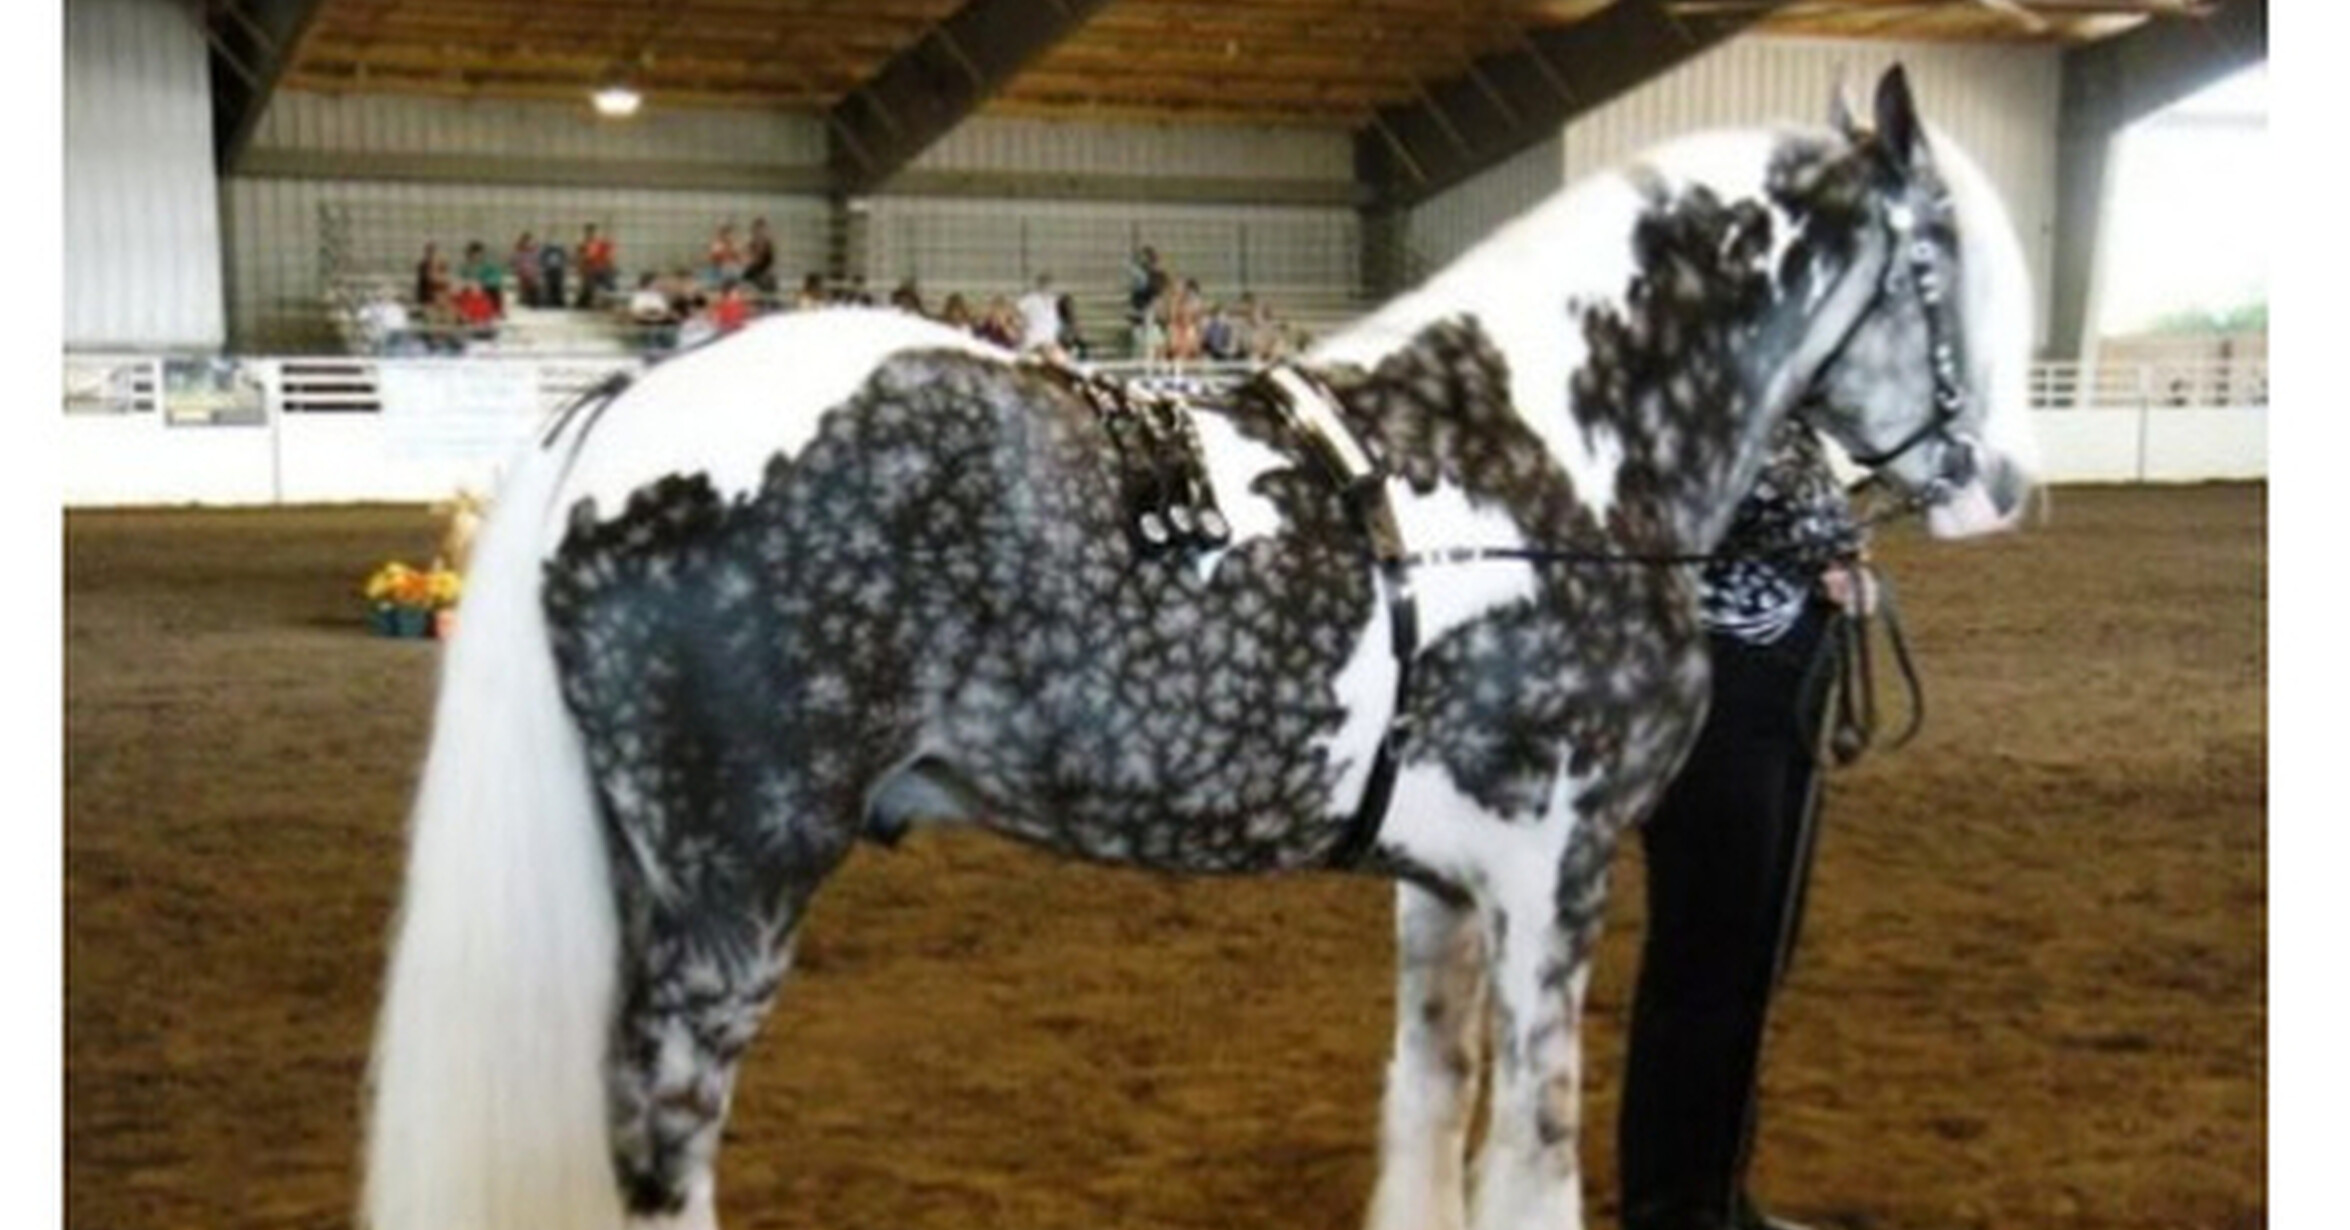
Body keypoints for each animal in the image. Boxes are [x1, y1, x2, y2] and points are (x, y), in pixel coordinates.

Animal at [361, 66, 2036, 1230]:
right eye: (1944, 266)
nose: (2004, 485)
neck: (1546, 455)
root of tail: (624, 410)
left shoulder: (1446, 884)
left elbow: (1429, 1114)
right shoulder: (1552, 873)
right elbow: (1530, 1154)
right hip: (734, 882)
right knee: (660, 1131)